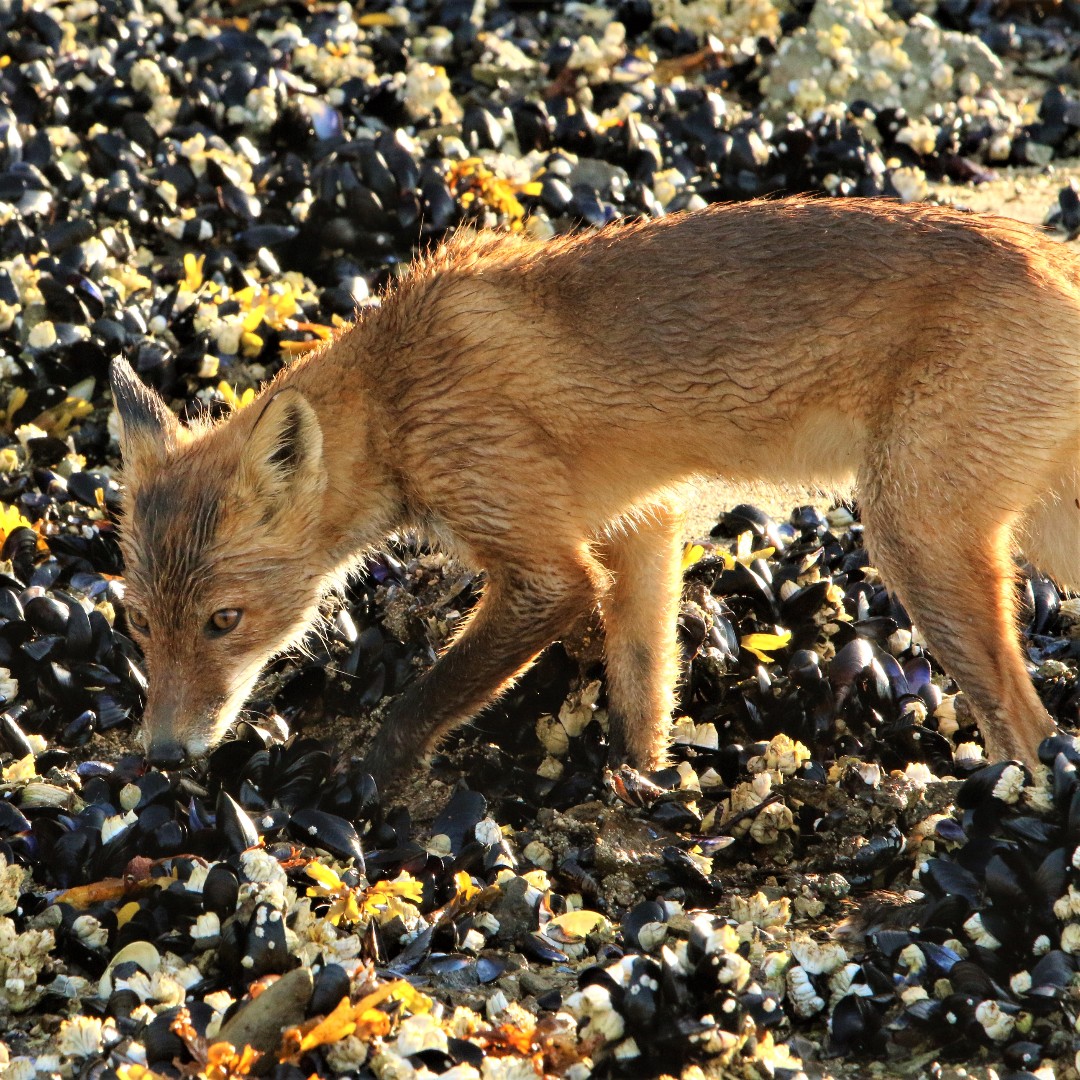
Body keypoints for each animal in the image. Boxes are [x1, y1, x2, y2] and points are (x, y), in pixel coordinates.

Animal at [109, 197, 1080, 782]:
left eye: (223, 621)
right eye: (139, 624)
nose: (160, 756)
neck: (399, 396)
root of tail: (1055, 255)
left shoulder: (546, 565)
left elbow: (421, 705)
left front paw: (366, 785)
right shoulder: (641, 523)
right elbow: (644, 687)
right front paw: (639, 786)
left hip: (916, 539)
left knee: (1029, 729)